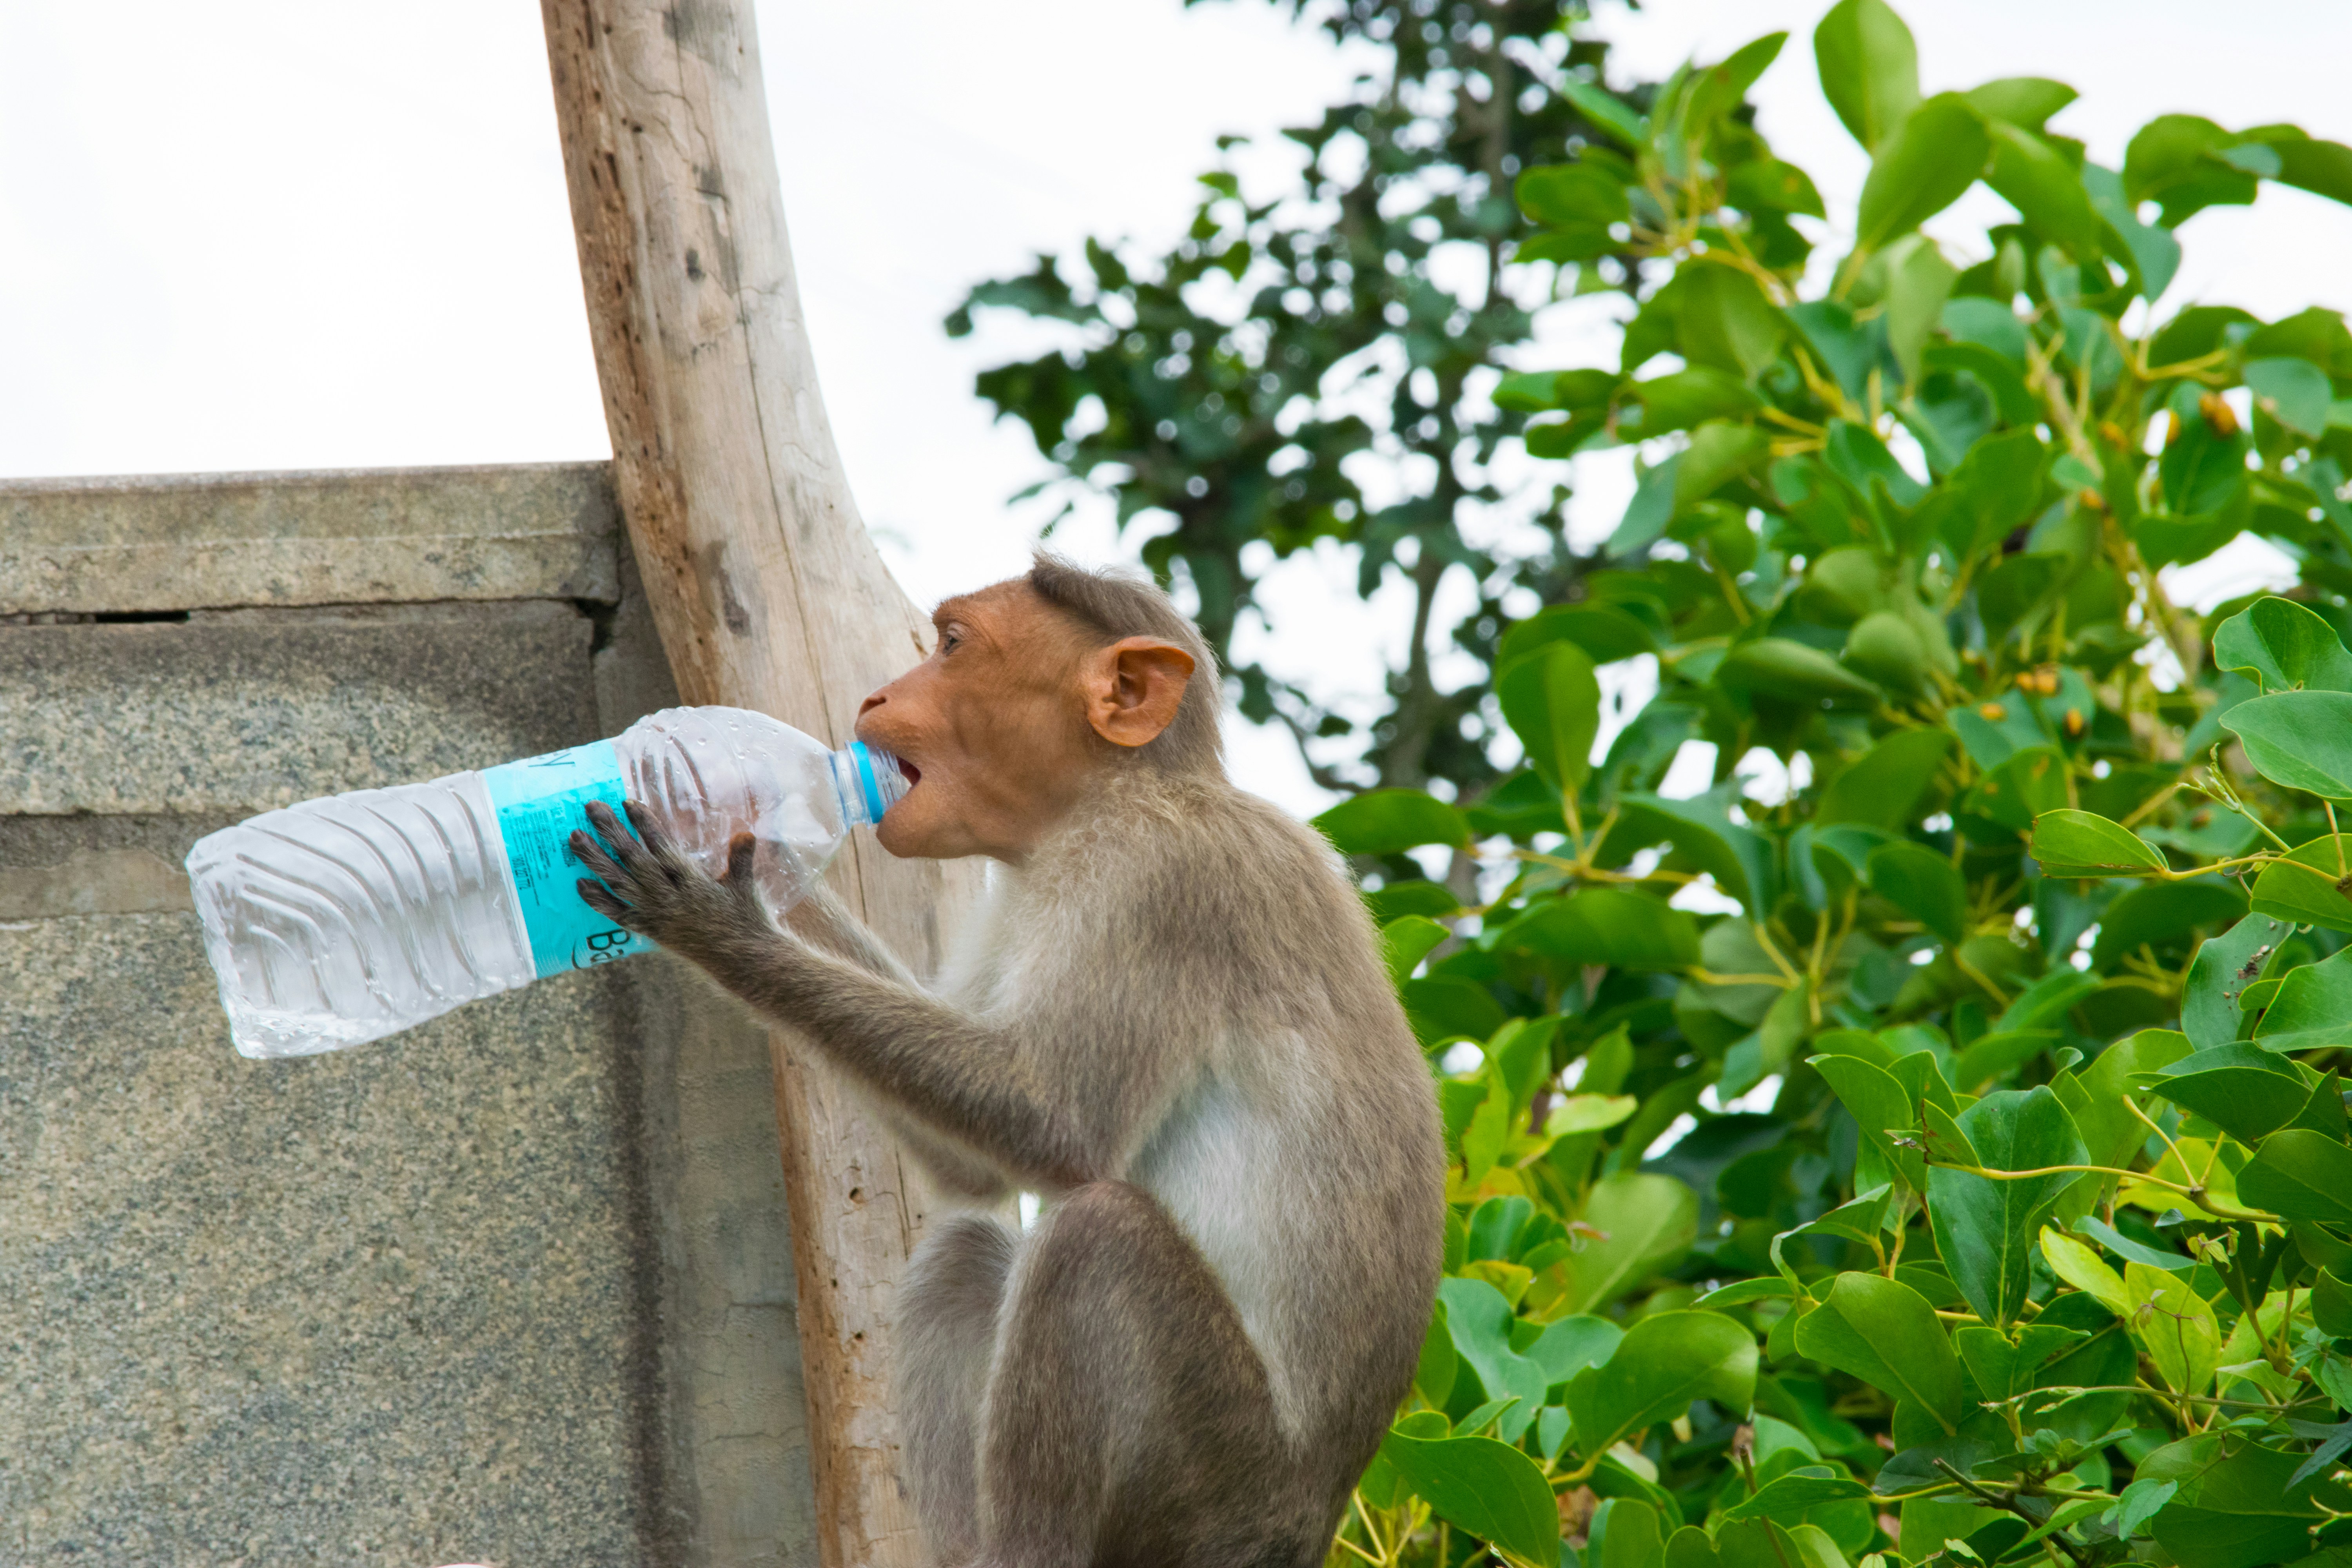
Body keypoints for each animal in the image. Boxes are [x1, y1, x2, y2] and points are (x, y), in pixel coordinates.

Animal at [570, 555, 1445, 1568]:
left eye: (950, 646)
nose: (877, 695)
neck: (1099, 802)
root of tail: (1307, 1525)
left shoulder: (1158, 878)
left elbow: (1050, 1121)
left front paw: (718, 921)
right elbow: (974, 1167)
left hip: (1215, 1485)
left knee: (1096, 1236)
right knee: (965, 1246)